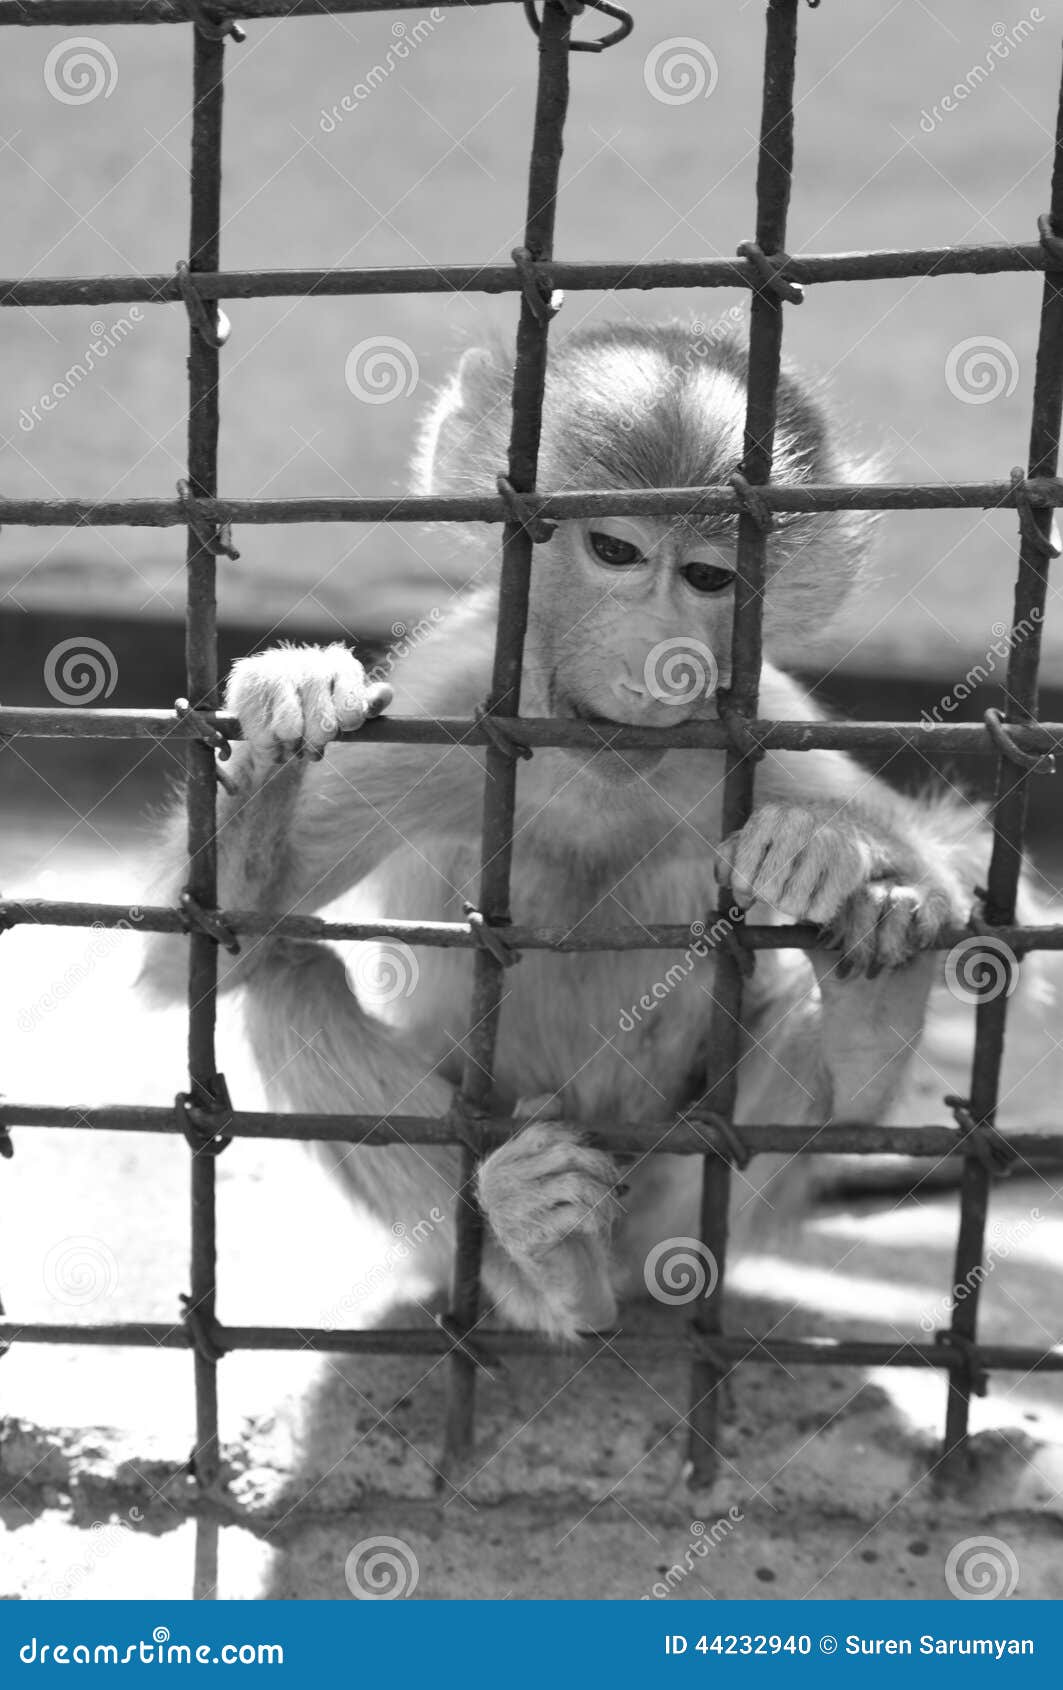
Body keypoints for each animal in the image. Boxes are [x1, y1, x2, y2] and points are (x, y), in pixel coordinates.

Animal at [140, 322, 993, 1342]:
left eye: (709, 576)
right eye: (615, 550)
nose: (665, 650)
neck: (600, 758)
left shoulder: (755, 727)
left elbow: (941, 871)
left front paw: (827, 848)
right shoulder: (450, 699)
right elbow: (191, 951)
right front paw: (284, 716)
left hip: (680, 1204)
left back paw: (869, 1016)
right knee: (287, 979)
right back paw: (542, 1262)